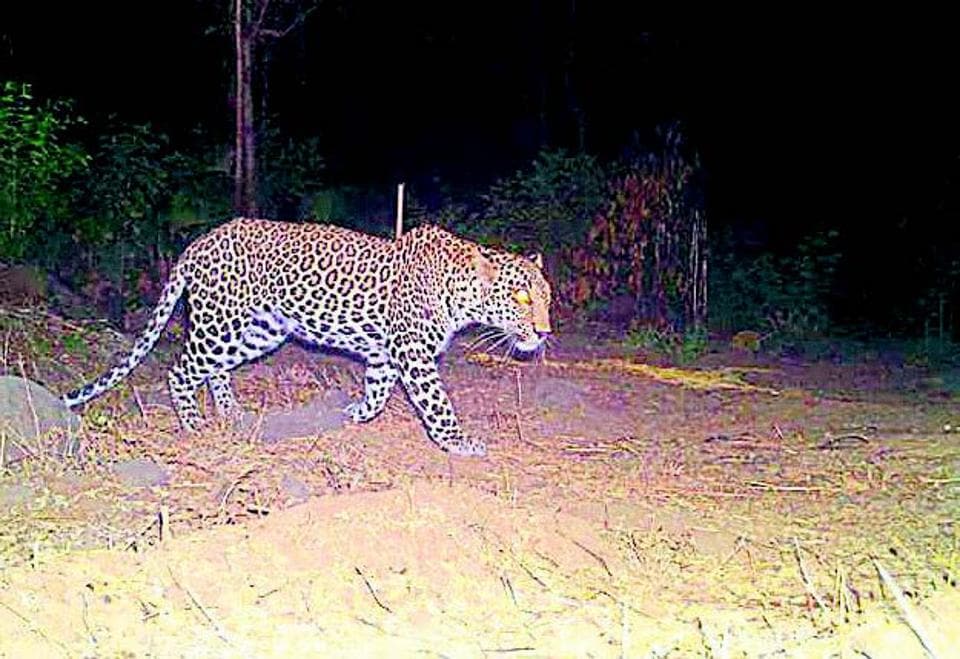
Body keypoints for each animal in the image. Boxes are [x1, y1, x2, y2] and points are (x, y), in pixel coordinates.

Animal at [62, 217, 553, 456]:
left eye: (546, 297)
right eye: (521, 296)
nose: (545, 331)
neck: (458, 292)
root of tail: (198, 242)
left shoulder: (384, 355)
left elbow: (377, 392)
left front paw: (356, 414)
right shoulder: (413, 355)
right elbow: (437, 405)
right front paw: (458, 442)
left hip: (259, 331)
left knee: (215, 370)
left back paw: (231, 411)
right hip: (220, 323)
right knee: (181, 370)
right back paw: (194, 423)